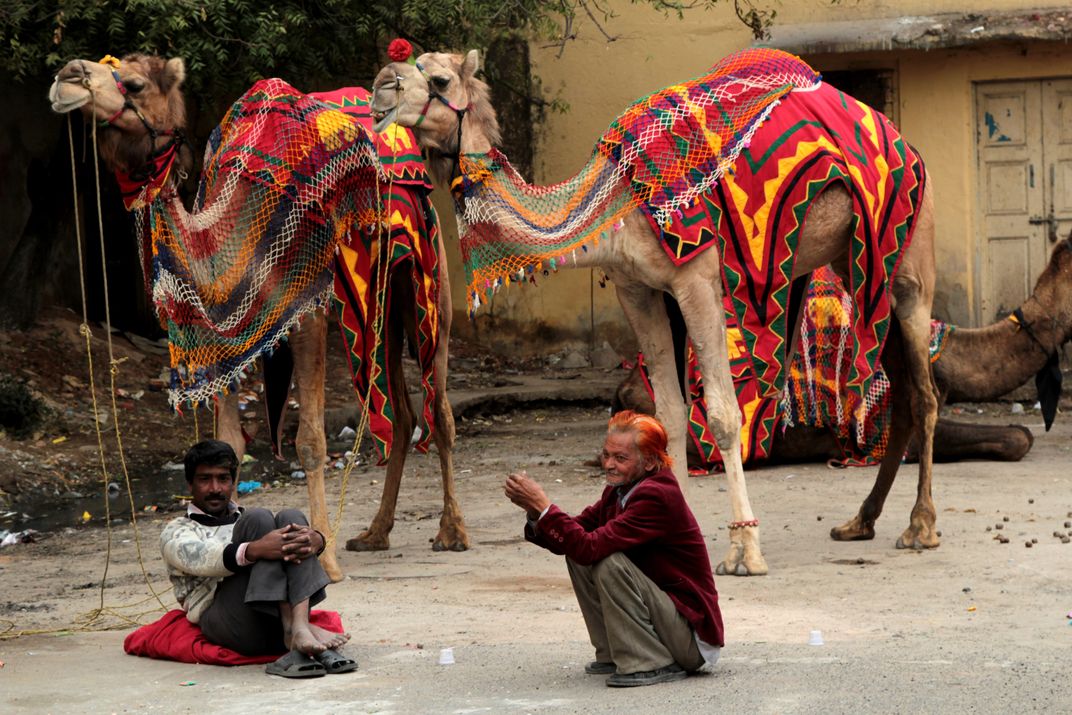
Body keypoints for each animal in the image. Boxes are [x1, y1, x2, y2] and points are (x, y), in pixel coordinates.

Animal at [48, 54, 470, 583]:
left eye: (135, 83)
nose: (68, 75)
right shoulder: (227, 332)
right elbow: (228, 439)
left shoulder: (306, 311)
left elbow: (310, 441)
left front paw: (324, 557)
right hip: (381, 303)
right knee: (405, 410)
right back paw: (375, 533)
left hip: (429, 285)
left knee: (439, 410)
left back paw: (452, 532)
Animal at [372, 49, 941, 576]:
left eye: (438, 79)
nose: (379, 88)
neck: (612, 207)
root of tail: (905, 141)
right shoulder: (638, 289)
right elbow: (668, 415)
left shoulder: (697, 276)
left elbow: (723, 416)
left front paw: (743, 551)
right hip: (856, 259)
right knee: (904, 392)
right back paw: (860, 522)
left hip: (909, 259)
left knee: (926, 391)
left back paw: (920, 527)